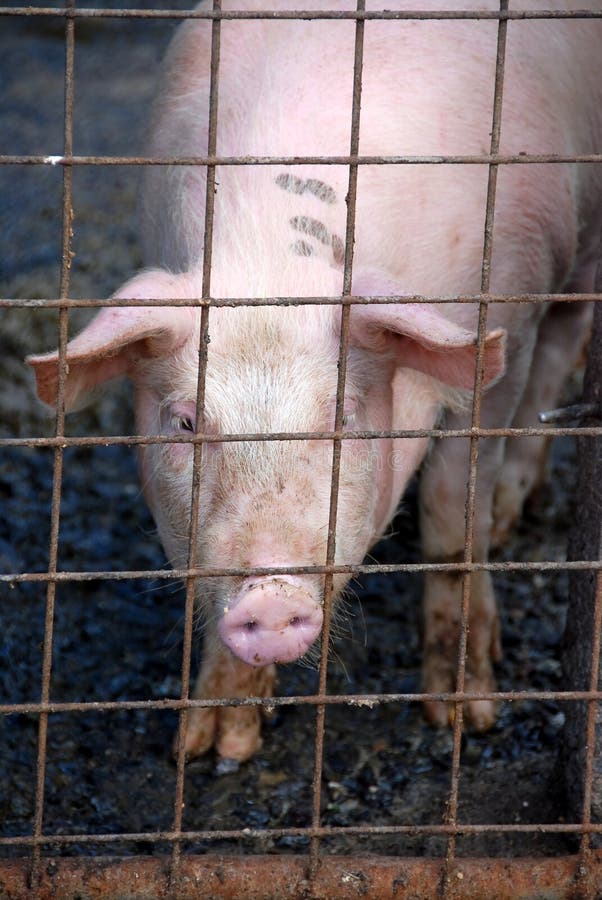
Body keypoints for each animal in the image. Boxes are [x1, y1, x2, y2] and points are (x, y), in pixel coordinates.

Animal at [28, 0, 602, 763]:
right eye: (184, 422)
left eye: (345, 418)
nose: (269, 595)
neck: (274, 270)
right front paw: (213, 746)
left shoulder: (510, 301)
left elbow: (452, 508)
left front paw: (460, 715)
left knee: (563, 351)